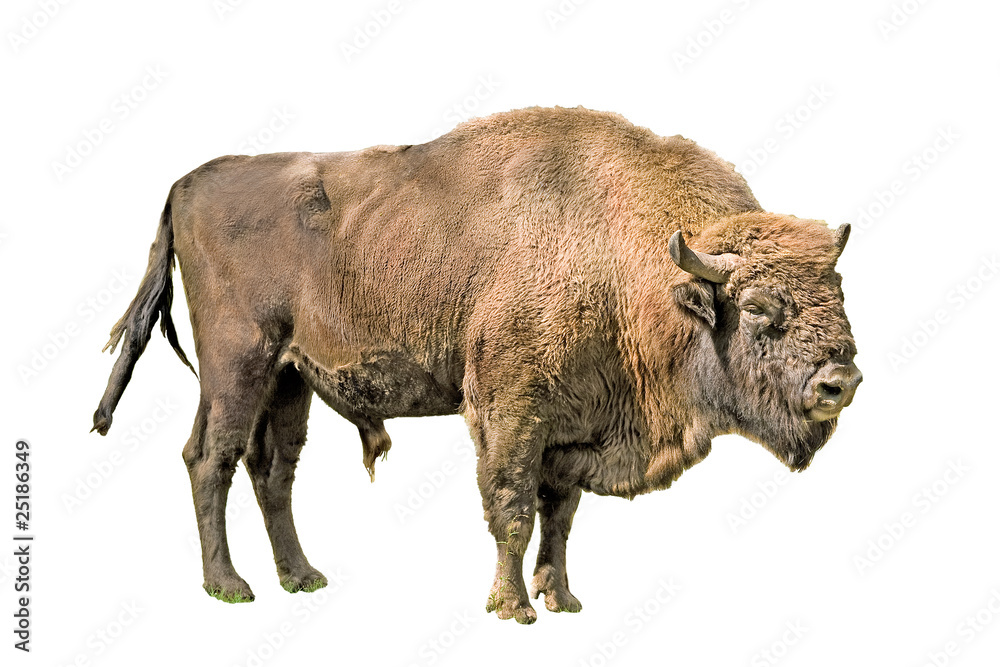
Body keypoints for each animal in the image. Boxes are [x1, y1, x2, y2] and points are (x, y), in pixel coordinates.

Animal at [93, 106, 861, 623]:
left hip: (289, 379)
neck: (632, 266)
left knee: (271, 470)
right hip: (237, 365)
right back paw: (229, 585)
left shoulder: (570, 428)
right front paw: (512, 606)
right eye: (758, 307)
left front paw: (564, 597)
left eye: (839, 291)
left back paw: (301, 576)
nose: (841, 380)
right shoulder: (509, 412)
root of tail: (186, 183)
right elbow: (511, 509)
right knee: (210, 458)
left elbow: (560, 514)